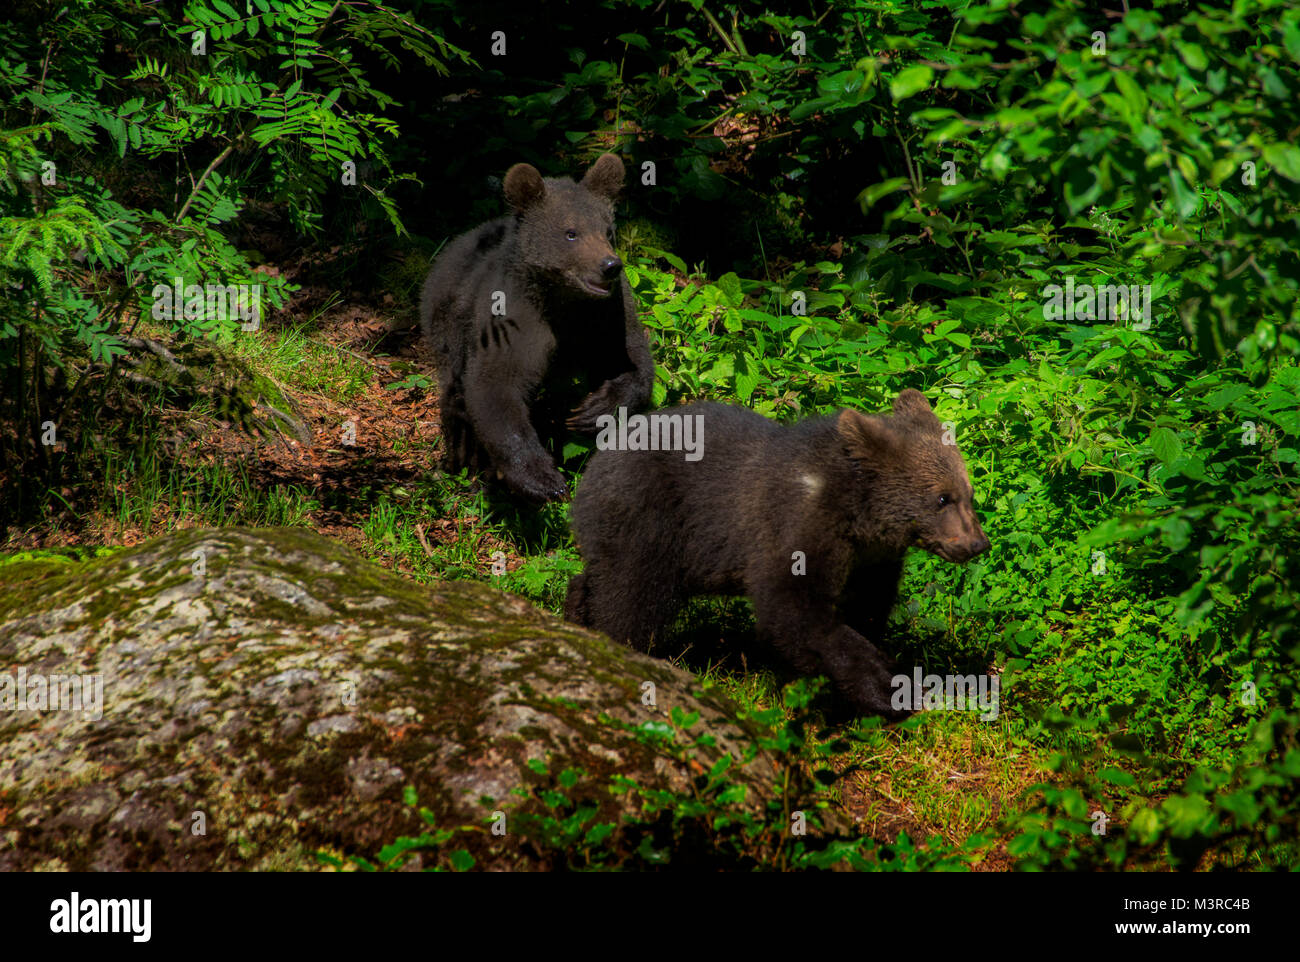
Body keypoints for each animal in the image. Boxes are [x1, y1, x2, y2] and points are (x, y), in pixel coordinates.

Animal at [419, 153, 654, 502]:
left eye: (608, 230)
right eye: (571, 232)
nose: (610, 265)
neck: (561, 300)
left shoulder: (608, 312)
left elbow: (631, 360)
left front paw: (593, 409)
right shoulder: (514, 316)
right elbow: (496, 384)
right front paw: (541, 479)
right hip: (447, 322)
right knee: (455, 392)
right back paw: (463, 460)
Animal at [564, 390, 990, 718]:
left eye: (969, 494)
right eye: (942, 498)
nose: (976, 544)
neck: (856, 515)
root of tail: (593, 464)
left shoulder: (873, 559)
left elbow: (866, 605)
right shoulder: (795, 526)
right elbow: (796, 611)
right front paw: (886, 689)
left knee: (598, 578)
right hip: (649, 521)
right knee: (633, 596)